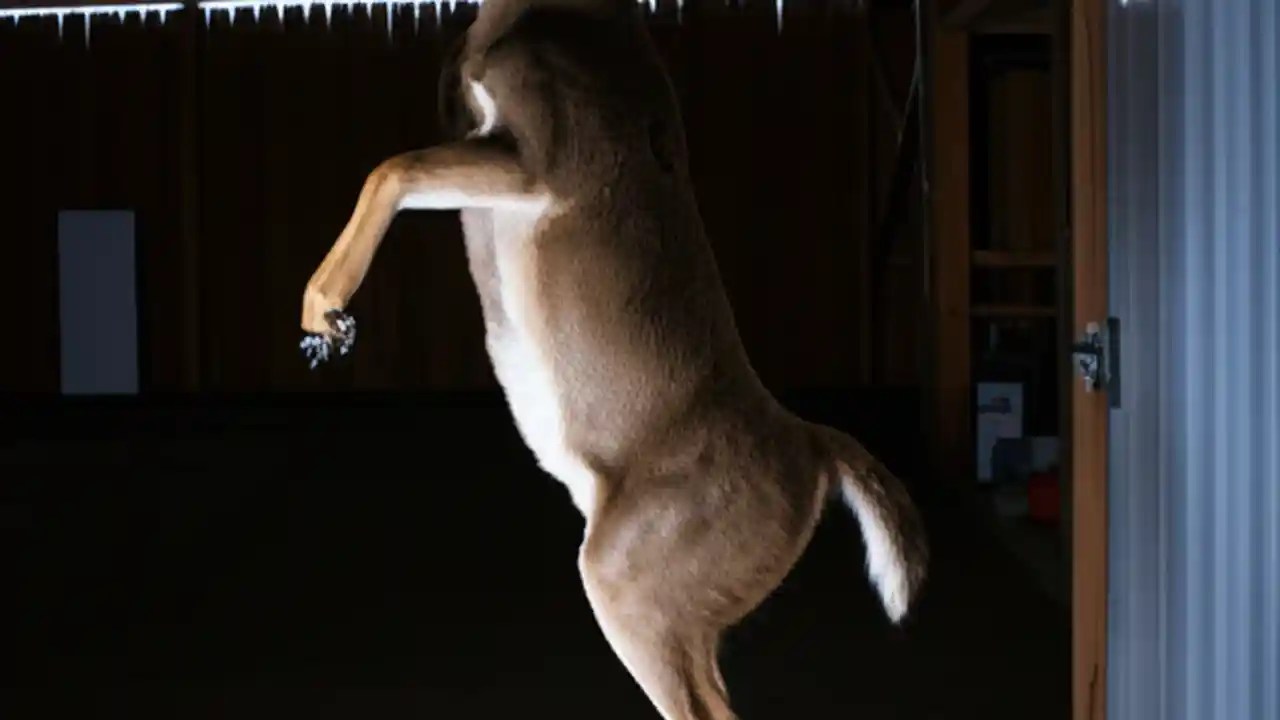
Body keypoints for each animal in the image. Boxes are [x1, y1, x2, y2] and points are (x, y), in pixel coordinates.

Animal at [298, 0, 929, 716]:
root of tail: (814, 446)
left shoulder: (543, 152)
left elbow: (391, 169)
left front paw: (323, 307)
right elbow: (405, 164)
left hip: (631, 577)